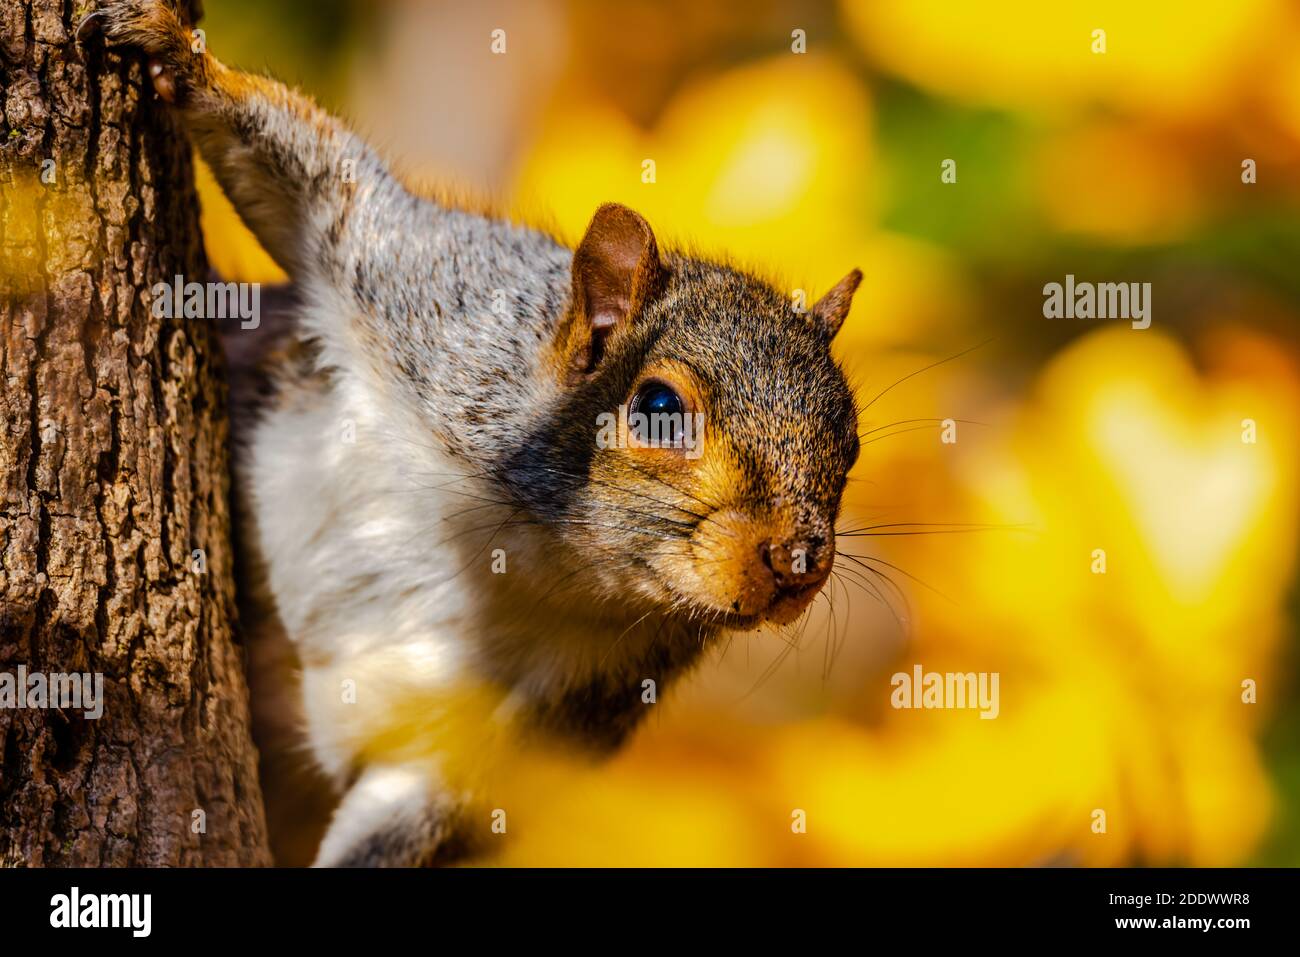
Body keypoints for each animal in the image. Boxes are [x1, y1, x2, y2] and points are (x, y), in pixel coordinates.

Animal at [81, 0, 864, 866]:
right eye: (659, 406)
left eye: (851, 446)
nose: (799, 561)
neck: (530, 545)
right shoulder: (429, 300)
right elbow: (324, 188)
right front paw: (178, 53)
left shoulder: (526, 726)